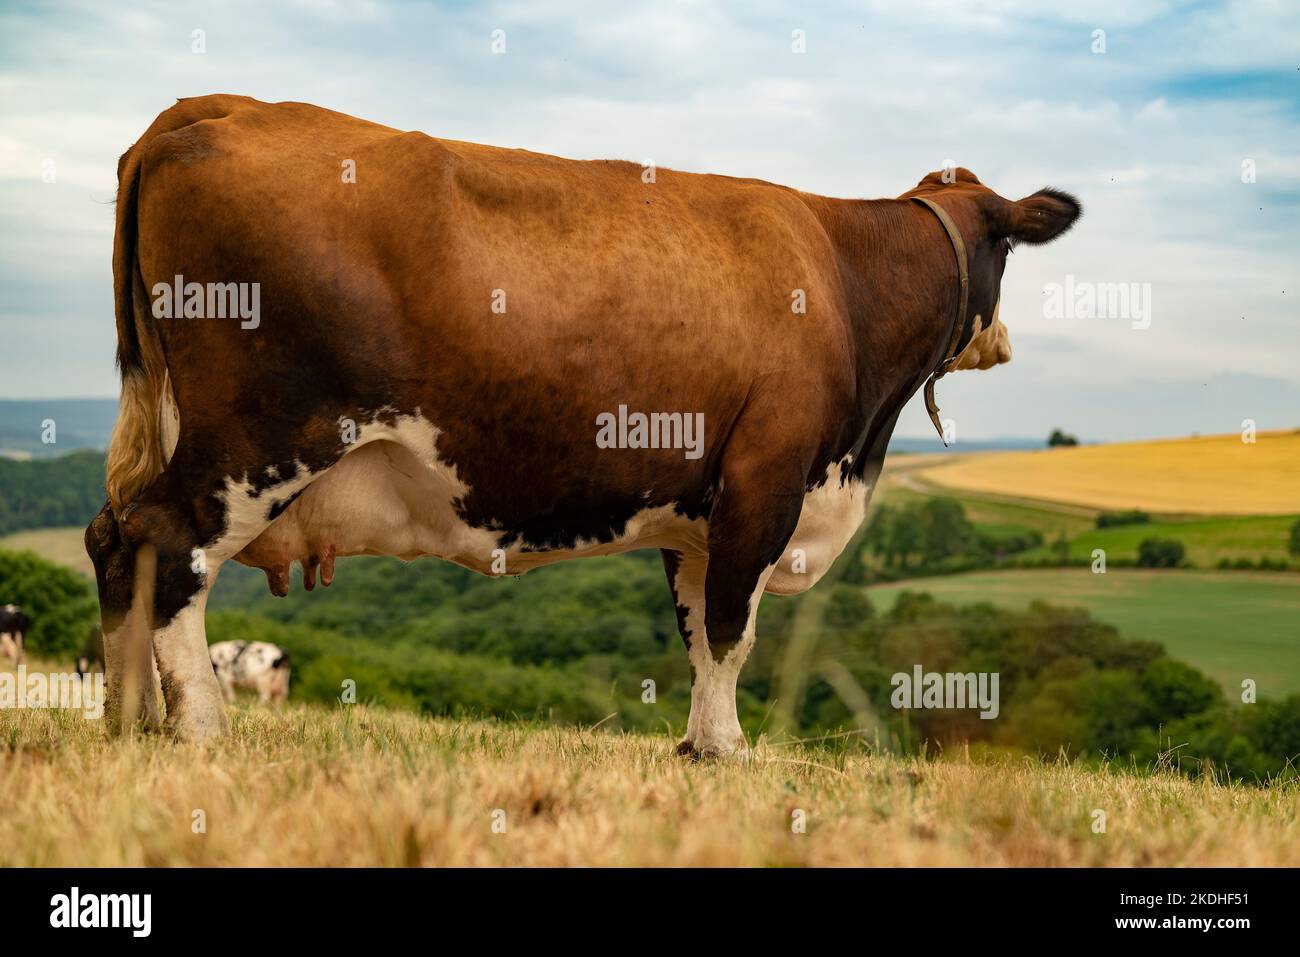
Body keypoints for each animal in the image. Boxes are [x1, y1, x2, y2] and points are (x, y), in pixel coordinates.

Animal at [84, 94, 1079, 753]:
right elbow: (733, 629)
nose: (1004, 342)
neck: (841, 275)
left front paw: (698, 745)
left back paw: (130, 718)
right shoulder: (767, 476)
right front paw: (729, 749)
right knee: (168, 542)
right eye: (1006, 247)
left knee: (112, 537)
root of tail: (215, 107)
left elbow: (697, 631)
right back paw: (199, 726)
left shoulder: (698, 509)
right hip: (259, 434)